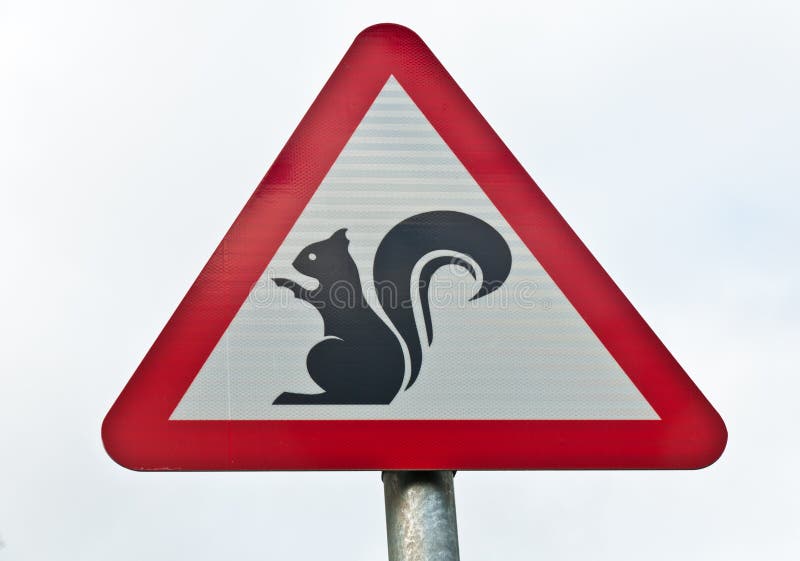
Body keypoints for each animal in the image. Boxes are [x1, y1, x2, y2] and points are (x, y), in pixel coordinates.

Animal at [272, 210, 512, 405]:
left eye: (311, 255)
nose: (293, 262)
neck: (337, 274)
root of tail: (388, 396)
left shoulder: (326, 295)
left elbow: (306, 294)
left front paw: (284, 281)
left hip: (323, 351)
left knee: (341, 395)